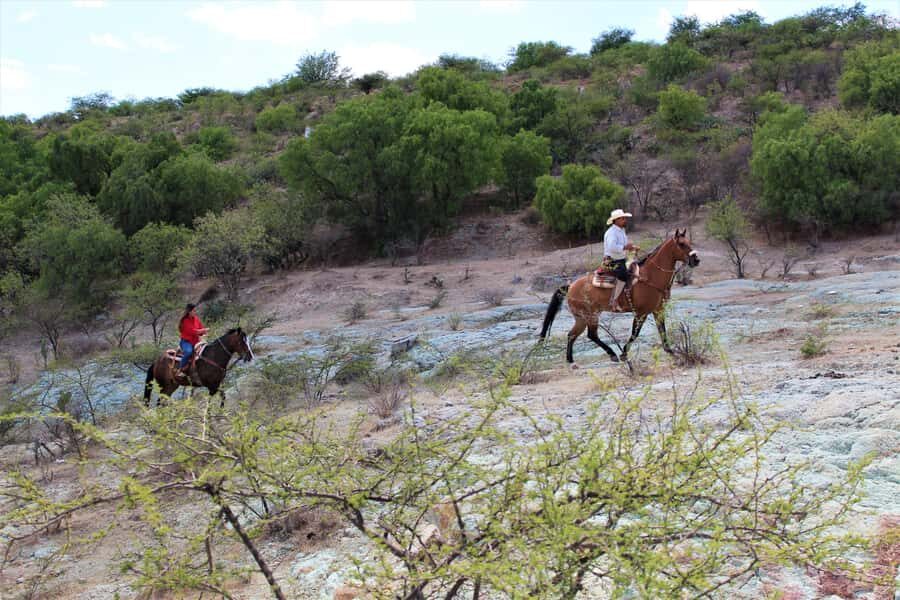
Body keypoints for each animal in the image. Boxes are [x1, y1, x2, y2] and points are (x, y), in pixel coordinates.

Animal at [539, 229, 700, 364]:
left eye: (689, 242)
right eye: (681, 244)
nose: (696, 260)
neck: (651, 277)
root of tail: (571, 286)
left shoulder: (658, 309)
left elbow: (662, 331)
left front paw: (670, 351)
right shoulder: (641, 313)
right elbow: (635, 333)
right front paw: (624, 354)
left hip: (582, 318)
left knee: (573, 335)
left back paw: (571, 360)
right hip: (588, 316)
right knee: (590, 335)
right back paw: (611, 354)